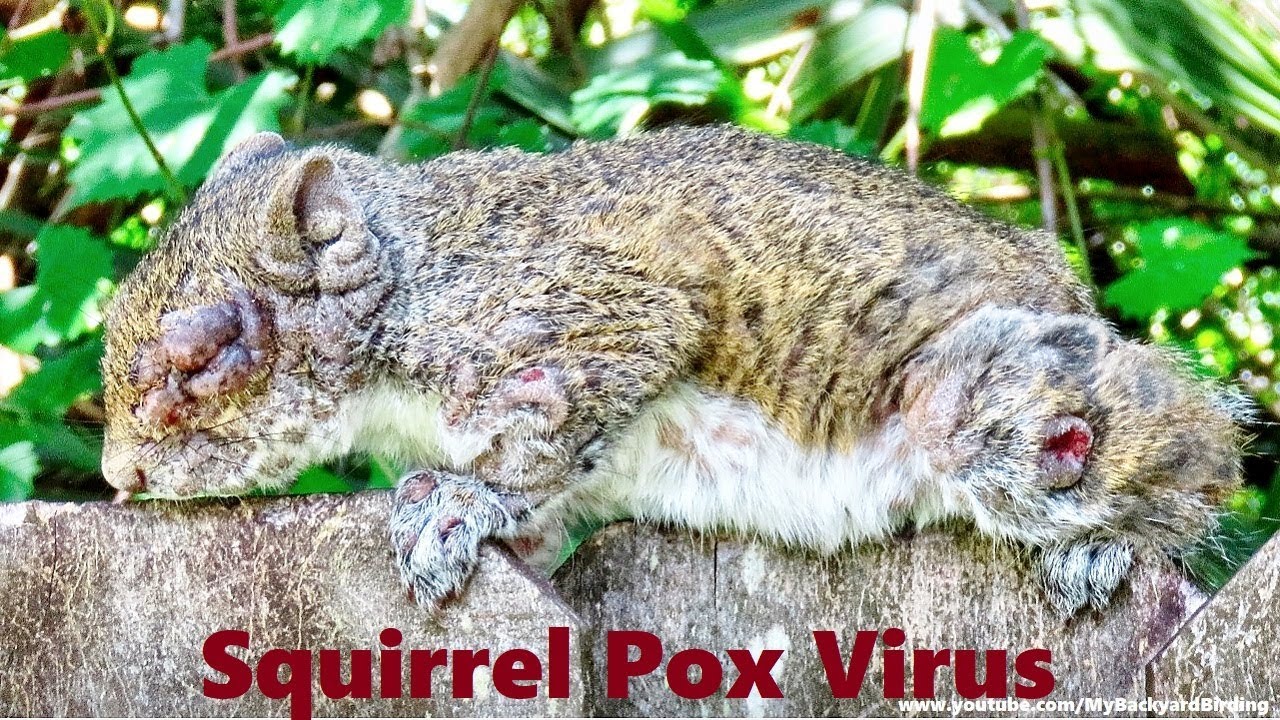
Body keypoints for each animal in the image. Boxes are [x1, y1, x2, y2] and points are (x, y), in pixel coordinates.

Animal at [99, 126, 1245, 616]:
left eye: (204, 352)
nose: (118, 477)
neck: (416, 278)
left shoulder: (591, 318)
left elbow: (535, 448)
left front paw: (459, 505)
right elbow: (556, 499)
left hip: (1007, 407)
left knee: (1195, 456)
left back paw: (1107, 547)